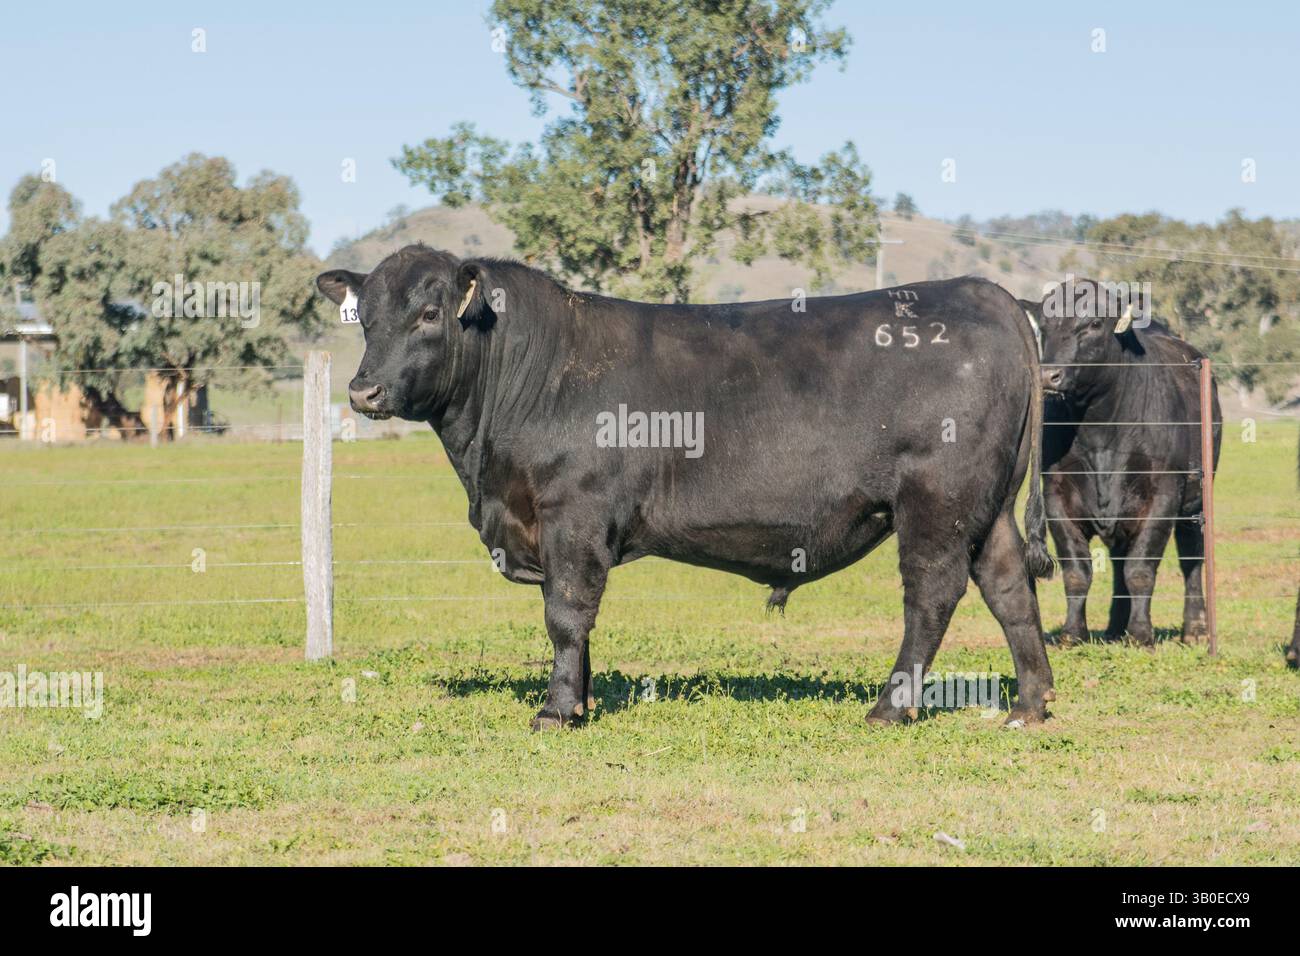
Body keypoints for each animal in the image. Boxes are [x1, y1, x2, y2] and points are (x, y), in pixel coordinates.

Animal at [317, 247, 1056, 730]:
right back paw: (1030, 705)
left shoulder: (572, 513)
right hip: (987, 508)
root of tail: (984, 292)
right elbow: (578, 622)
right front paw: (580, 699)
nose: (362, 391)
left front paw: (556, 711)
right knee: (1009, 588)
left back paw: (889, 709)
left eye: (429, 313)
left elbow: (565, 613)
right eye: (366, 318)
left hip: (936, 501)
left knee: (932, 597)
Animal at [1021, 278, 1221, 646]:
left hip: (1195, 501)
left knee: (1191, 558)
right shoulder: (1057, 495)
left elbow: (1140, 569)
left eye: (1093, 324)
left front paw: (1141, 634)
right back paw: (1115, 626)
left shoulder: (1163, 496)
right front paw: (1072, 634)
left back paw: (1196, 629)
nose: (1049, 376)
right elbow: (1077, 571)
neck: (1099, 429)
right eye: (1043, 326)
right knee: (1118, 559)